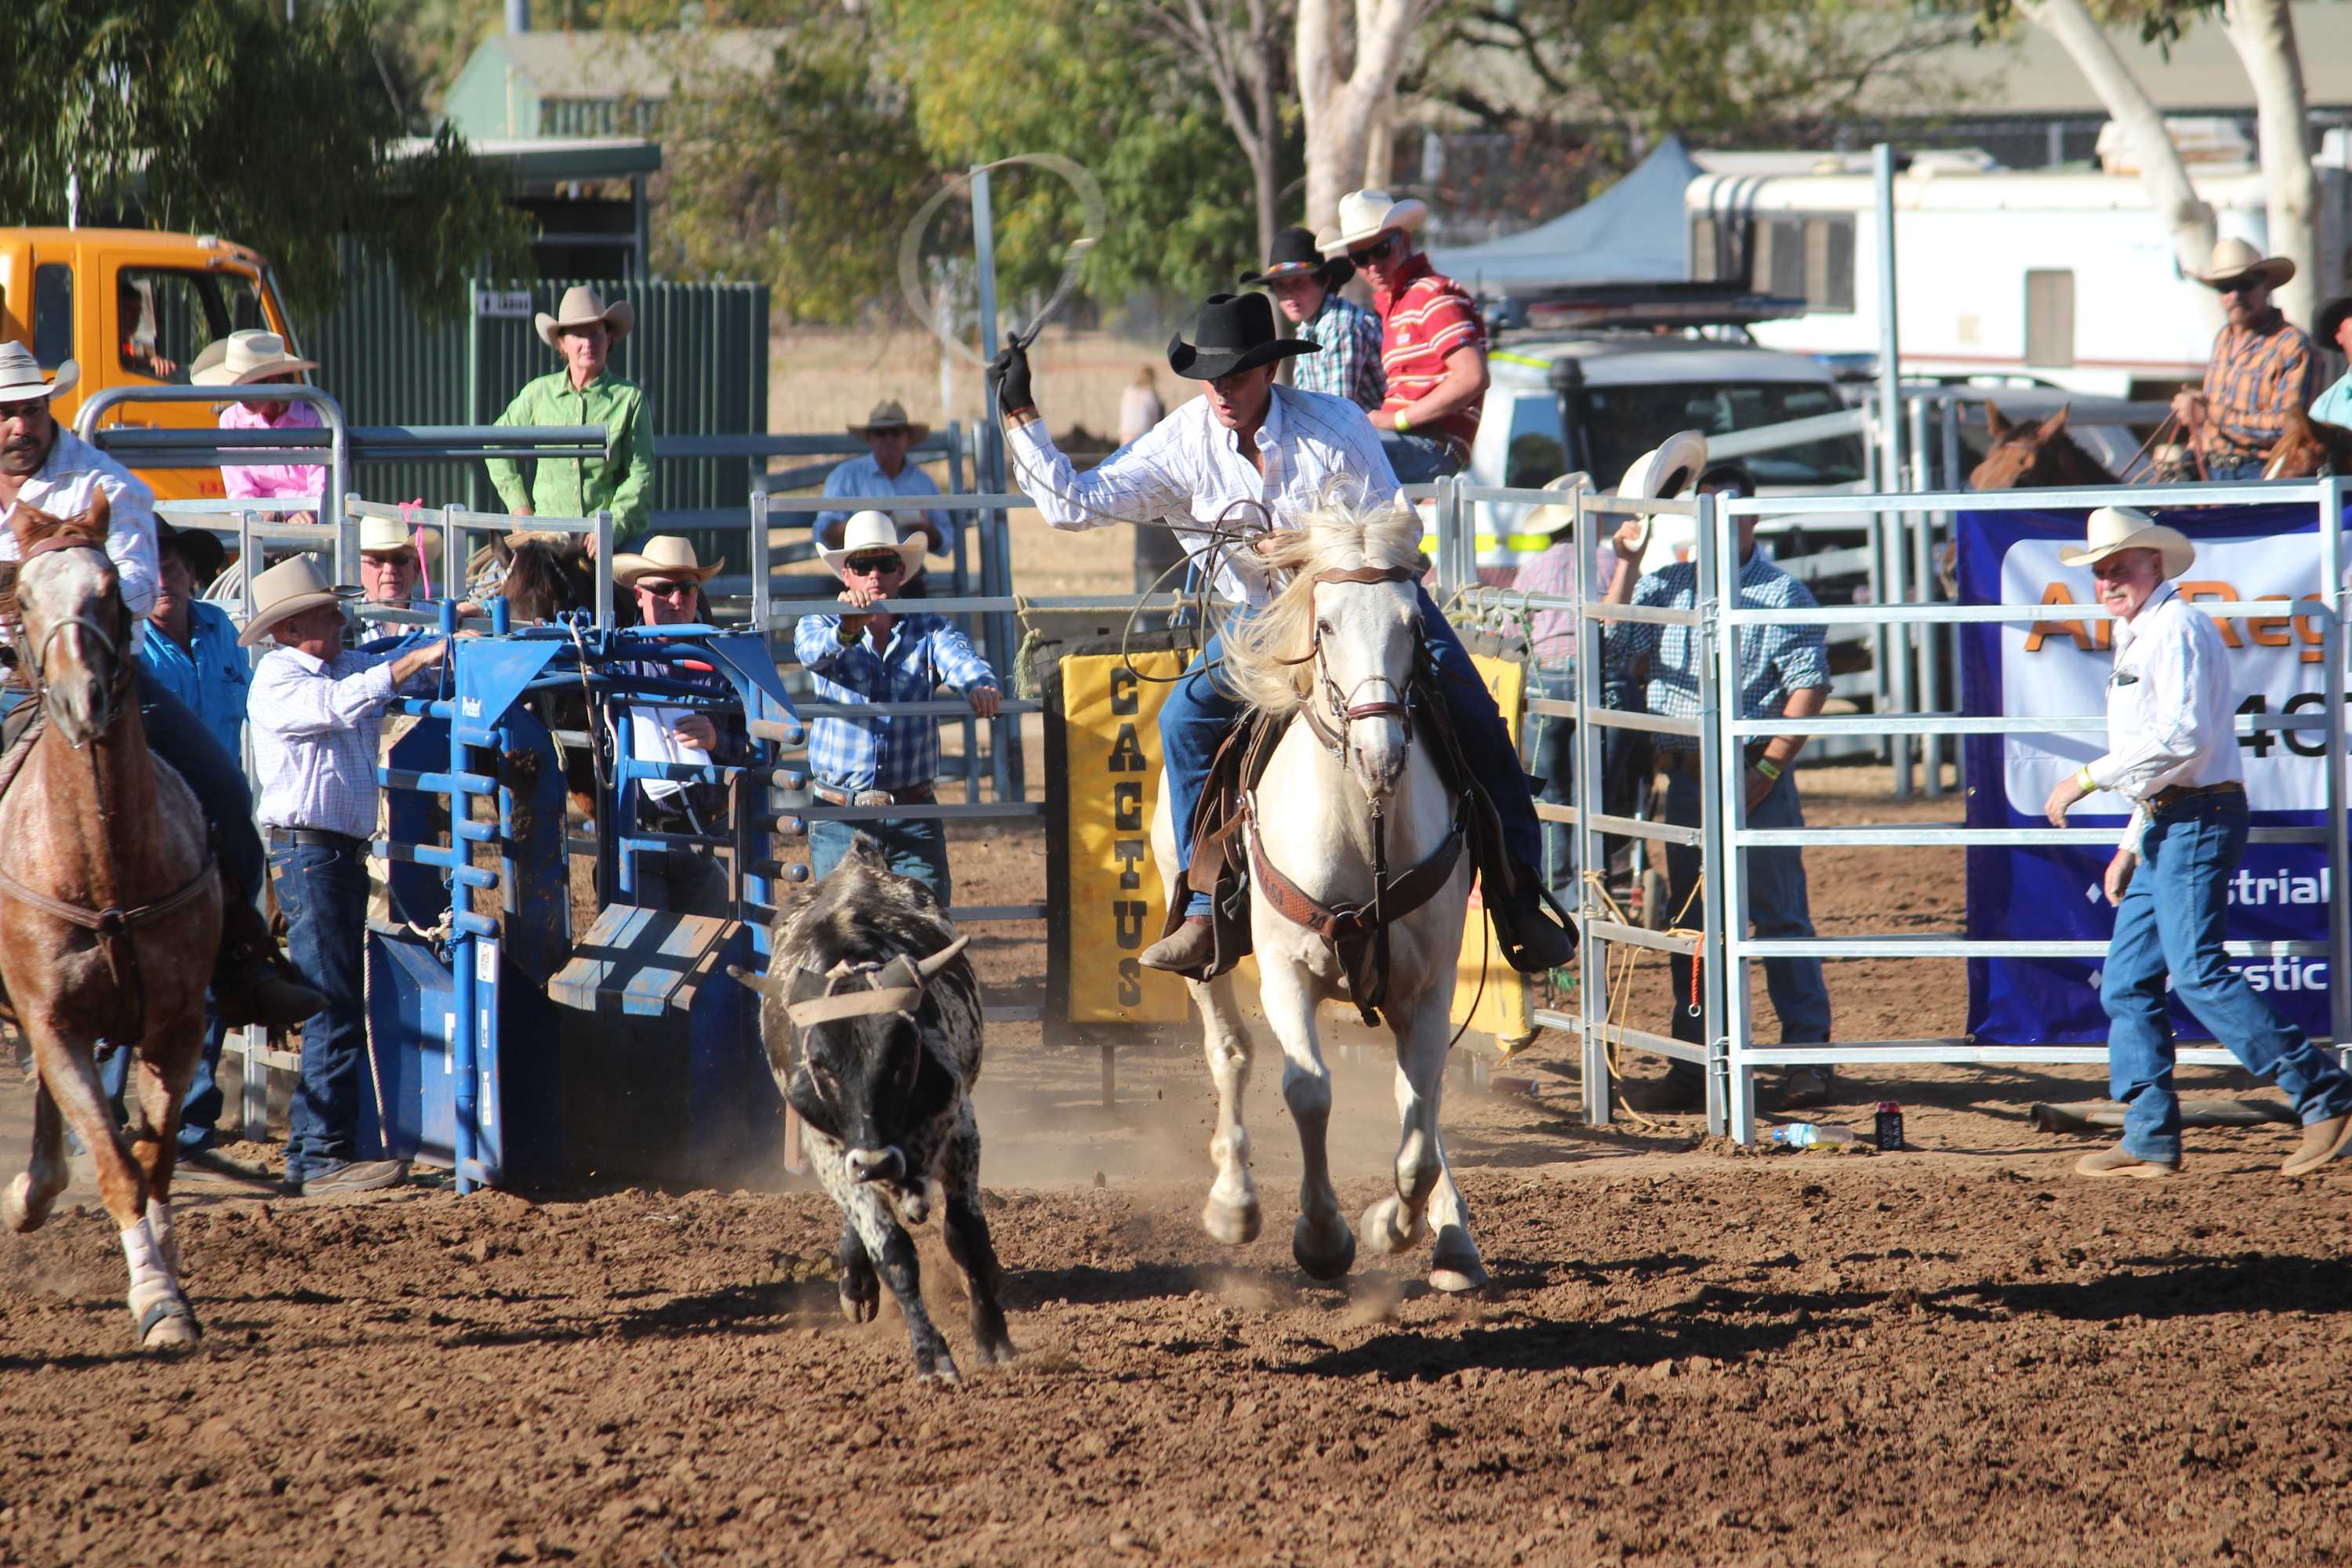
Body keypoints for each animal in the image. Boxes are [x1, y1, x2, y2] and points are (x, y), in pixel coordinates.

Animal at [0, 500, 220, 1354]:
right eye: (23, 598)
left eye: (110, 592)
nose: (82, 700)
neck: (106, 866)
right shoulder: (55, 1021)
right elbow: (117, 1163)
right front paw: (157, 1298)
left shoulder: (178, 1022)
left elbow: (152, 1158)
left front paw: (165, 1283)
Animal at [753, 841, 1011, 1382]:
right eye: (820, 1064)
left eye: (902, 1054)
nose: (878, 1161)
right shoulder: (831, 1151)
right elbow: (892, 1252)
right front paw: (931, 1356)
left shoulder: (961, 1131)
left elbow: (965, 1237)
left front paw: (993, 1338)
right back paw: (857, 1285)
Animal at [1148, 495, 1477, 1298]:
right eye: (1324, 624)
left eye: (1414, 624)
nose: (1381, 755)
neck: (1364, 822)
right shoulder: (1286, 972)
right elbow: (1309, 1091)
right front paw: (1323, 1239)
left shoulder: (1429, 986)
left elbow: (1419, 1123)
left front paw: (1398, 1225)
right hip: (1201, 943)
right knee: (1230, 1051)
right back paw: (1234, 1202)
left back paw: (1453, 1240)